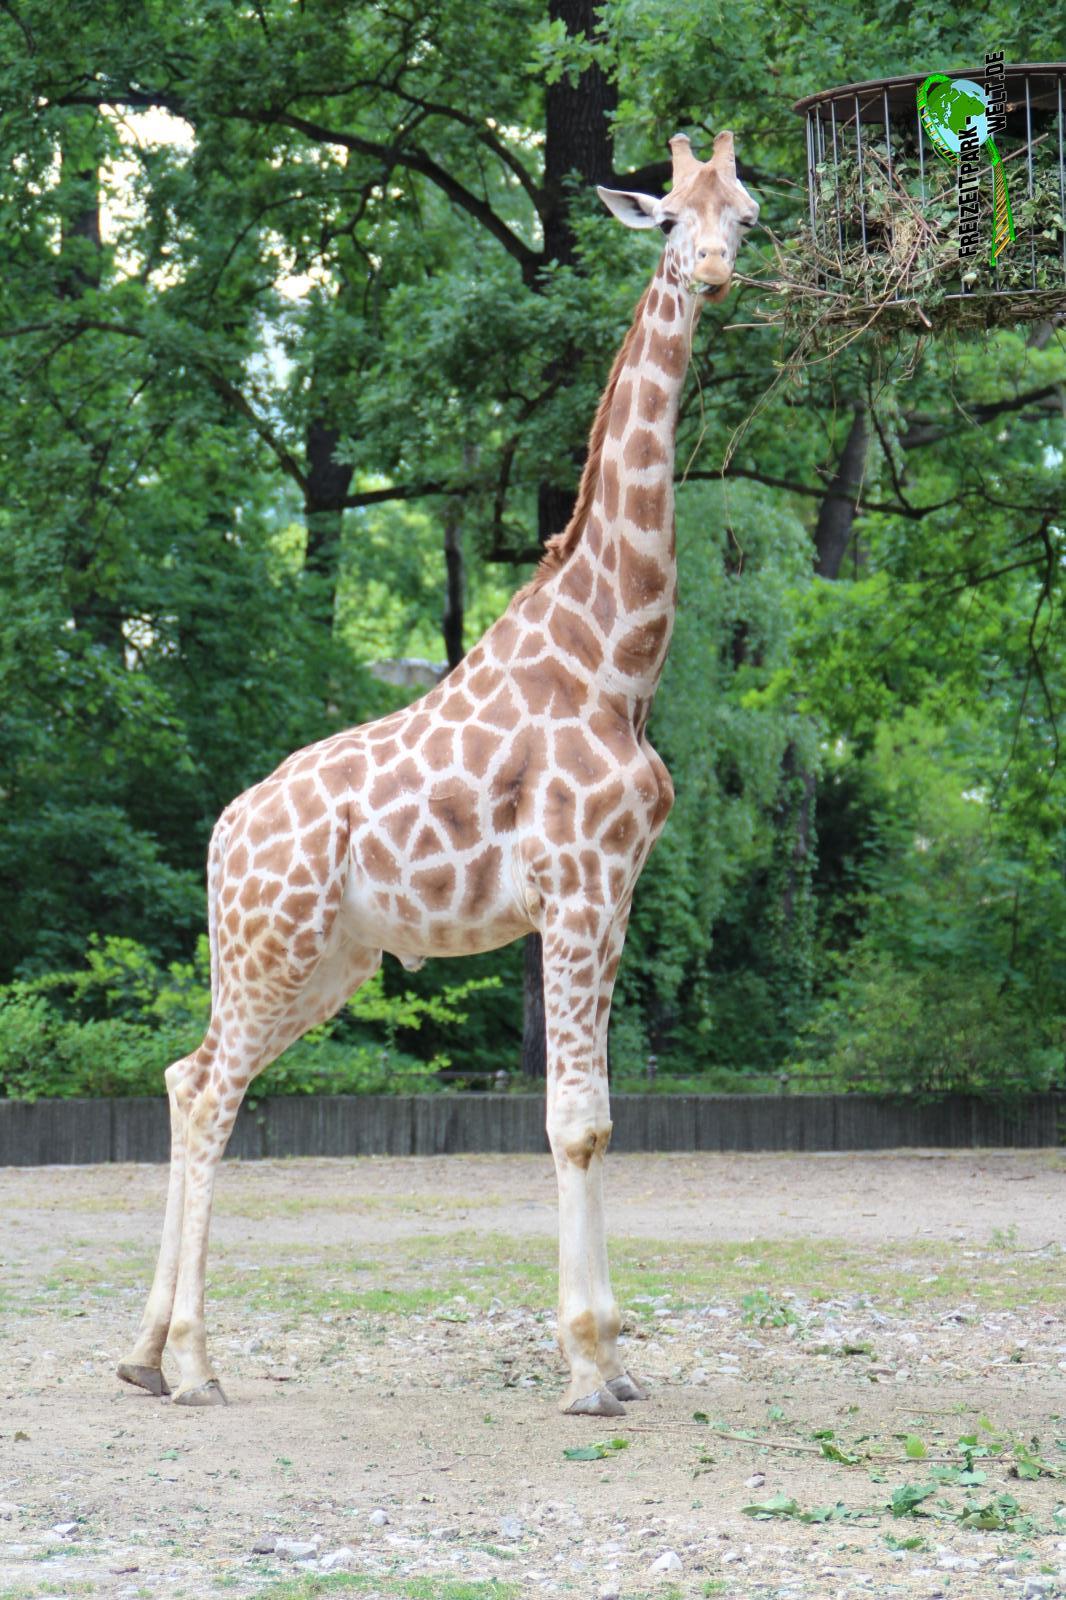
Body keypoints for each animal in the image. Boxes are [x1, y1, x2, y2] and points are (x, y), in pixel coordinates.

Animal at [117, 130, 759, 1417]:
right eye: (669, 218)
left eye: (749, 214)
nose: (715, 272)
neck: (616, 662)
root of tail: (221, 832)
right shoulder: (573, 890)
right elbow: (572, 1123)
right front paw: (584, 1366)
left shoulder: (612, 898)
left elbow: (601, 1119)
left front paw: (616, 1361)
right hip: (272, 948)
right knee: (211, 1093)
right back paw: (200, 1364)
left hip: (318, 962)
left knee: (183, 1071)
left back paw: (146, 1354)